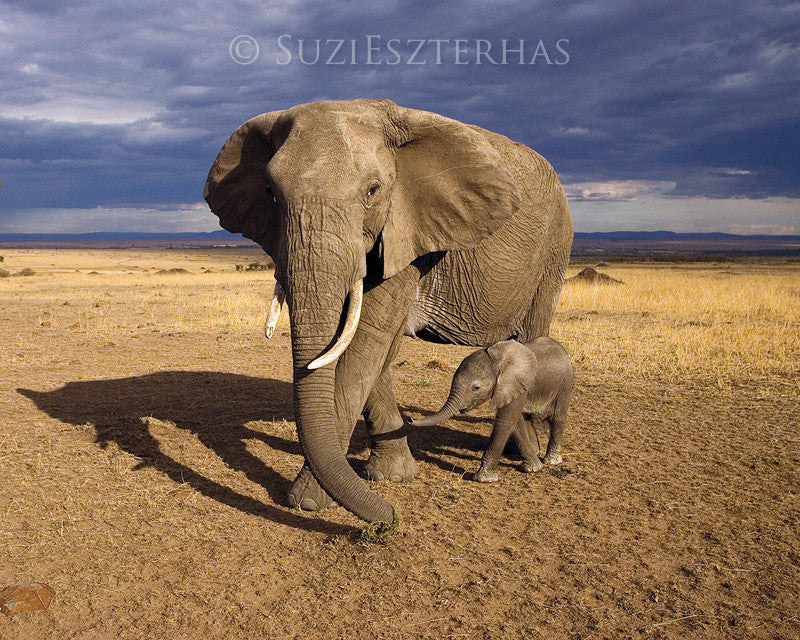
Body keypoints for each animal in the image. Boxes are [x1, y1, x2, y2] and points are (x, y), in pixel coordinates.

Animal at [411, 338, 574, 482]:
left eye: (476, 388)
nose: (410, 420)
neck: (497, 361)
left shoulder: (514, 383)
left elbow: (506, 421)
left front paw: (483, 478)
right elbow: (514, 423)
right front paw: (533, 467)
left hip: (565, 383)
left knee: (558, 417)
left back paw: (551, 461)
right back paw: (535, 451)